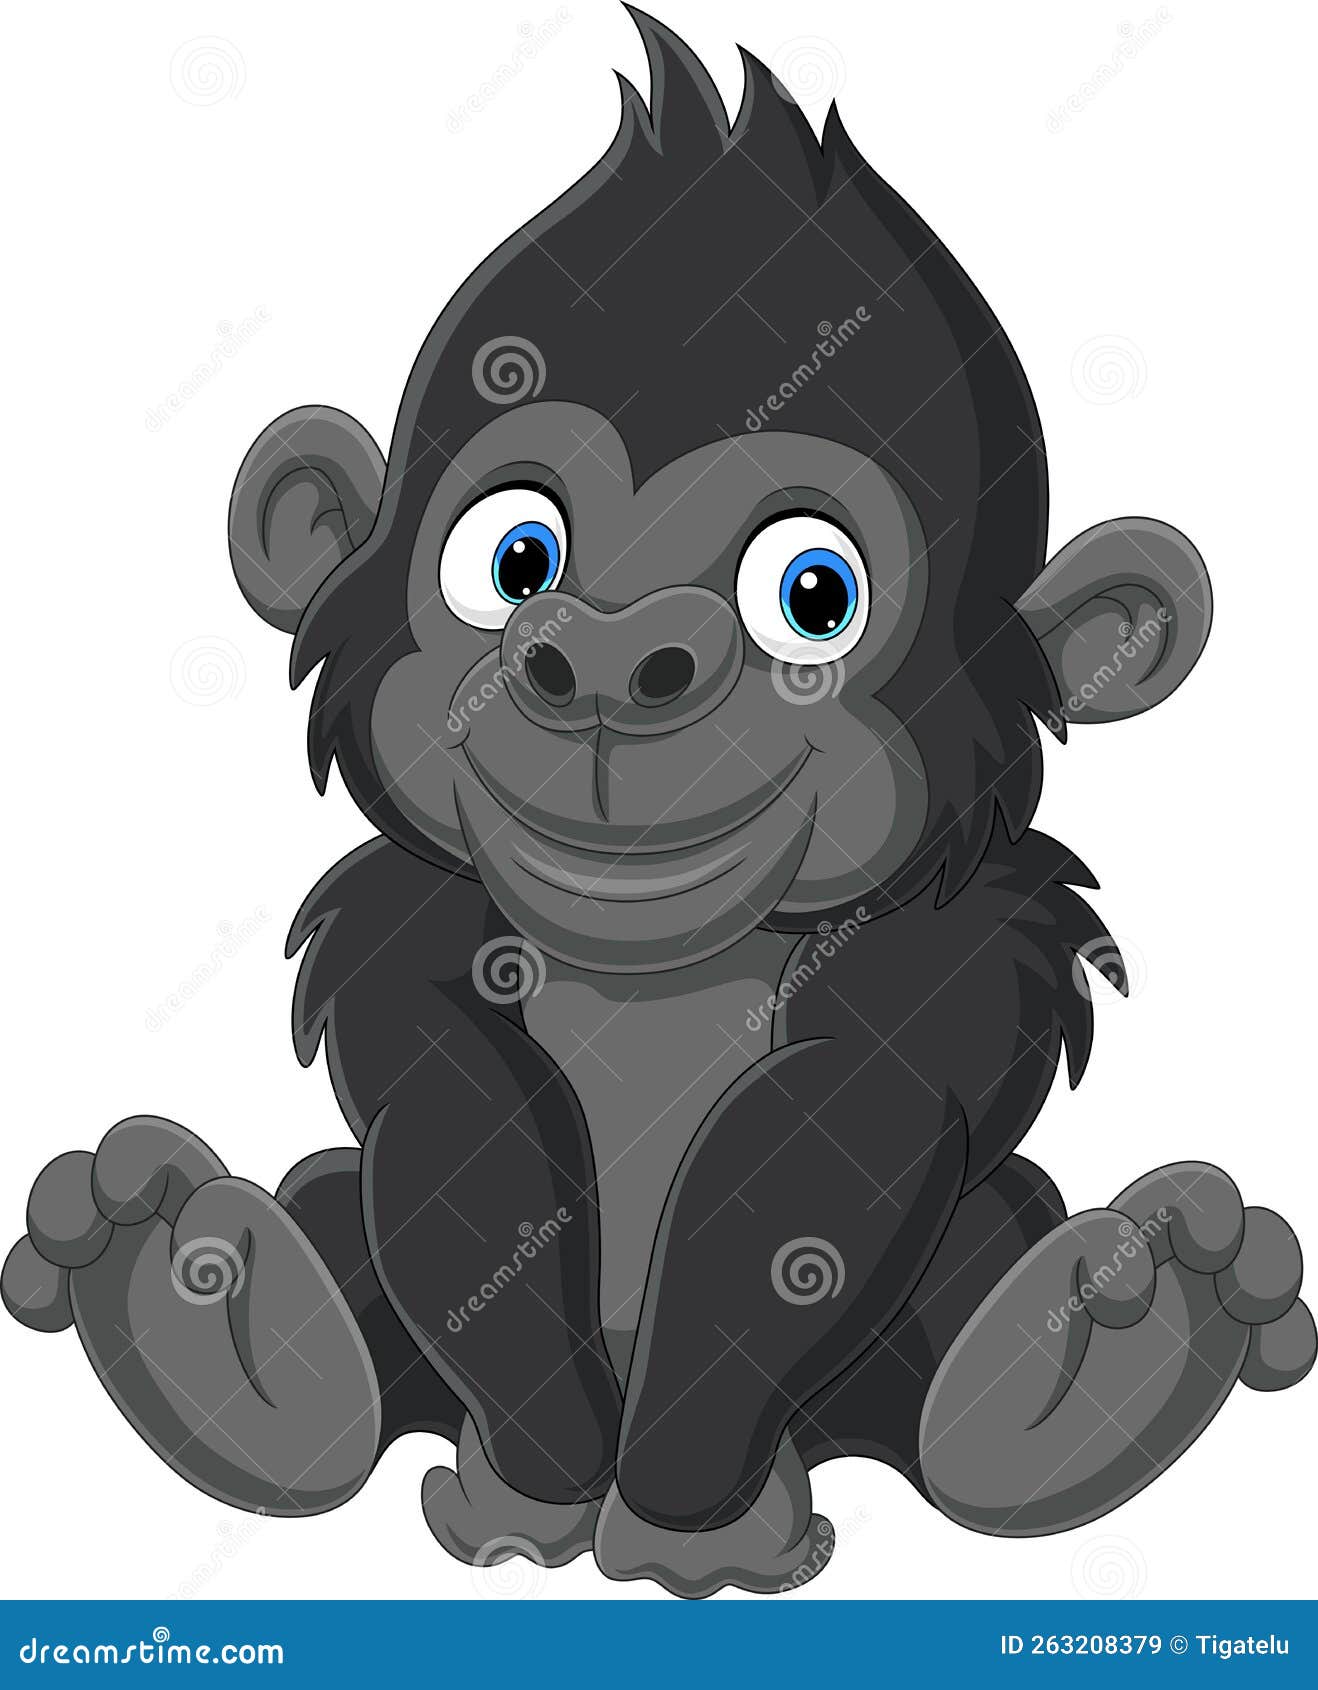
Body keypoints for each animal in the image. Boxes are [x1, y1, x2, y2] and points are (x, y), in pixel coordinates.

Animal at [4, 9, 1312, 1598]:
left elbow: (822, 1152)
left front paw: (684, 1513)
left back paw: (1093, 1347)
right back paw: (220, 1320)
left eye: (813, 592)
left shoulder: (959, 948)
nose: (607, 655)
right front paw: (540, 1477)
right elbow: (450, 1117)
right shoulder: (411, 913)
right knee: (338, 1216)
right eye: (513, 554)